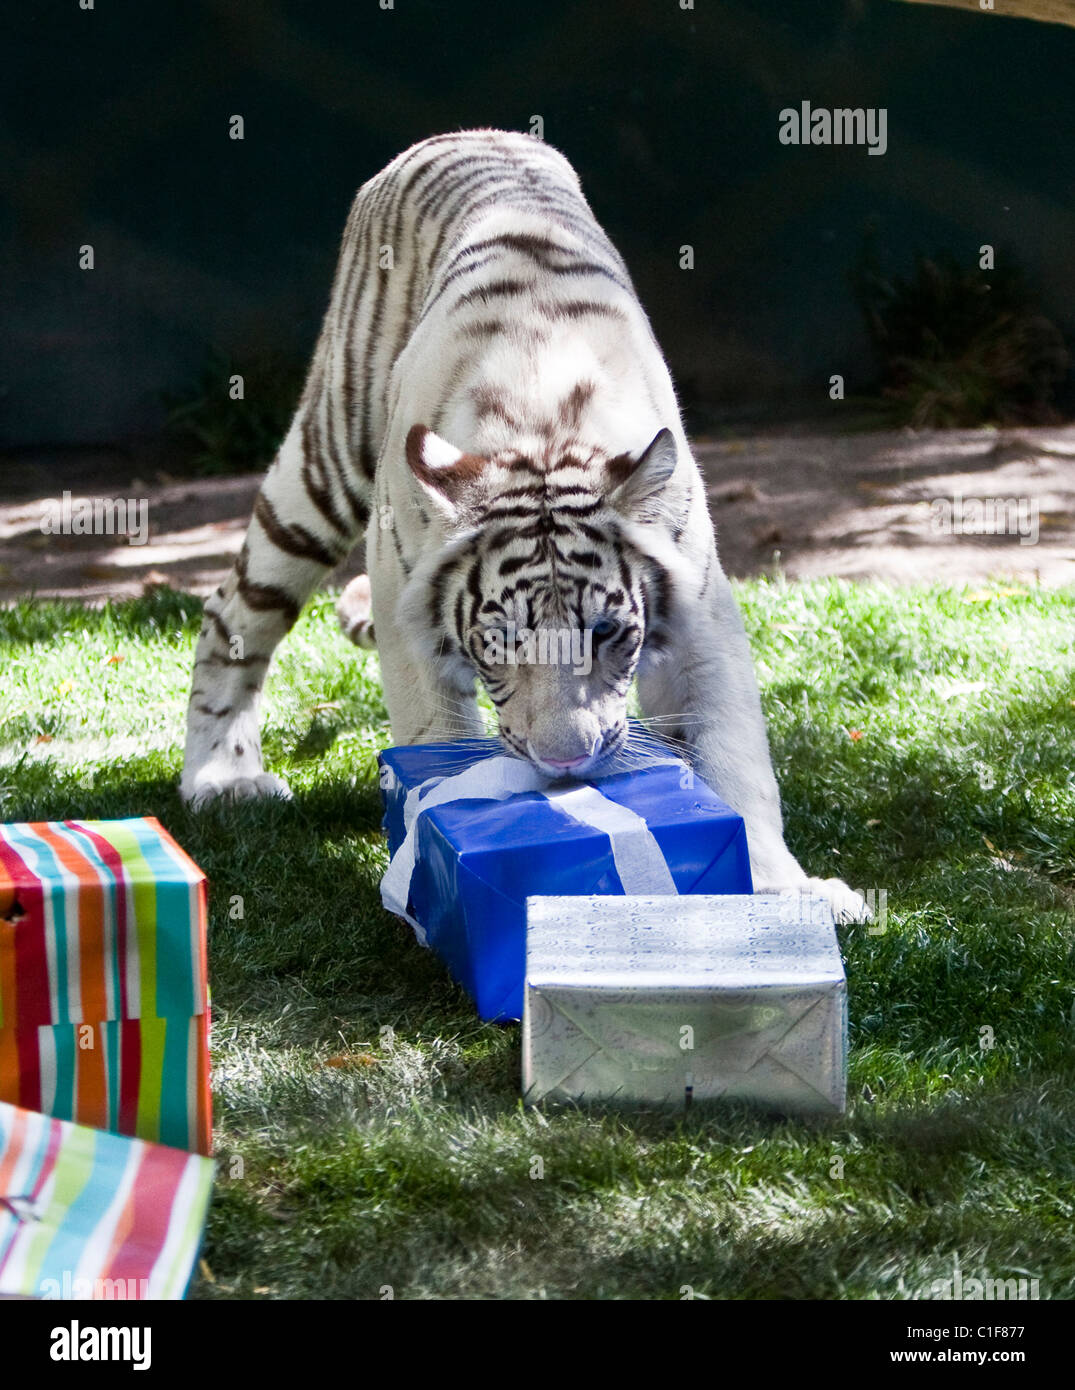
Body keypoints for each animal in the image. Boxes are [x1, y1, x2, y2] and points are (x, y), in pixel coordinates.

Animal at [180, 128, 868, 923]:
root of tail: (465, 133)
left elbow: (734, 754)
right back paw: (222, 779)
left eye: (607, 633)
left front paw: (788, 890)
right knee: (232, 609)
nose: (564, 764)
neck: (544, 425)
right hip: (327, 460)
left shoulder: (702, 615)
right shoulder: (401, 601)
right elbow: (435, 729)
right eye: (502, 640)